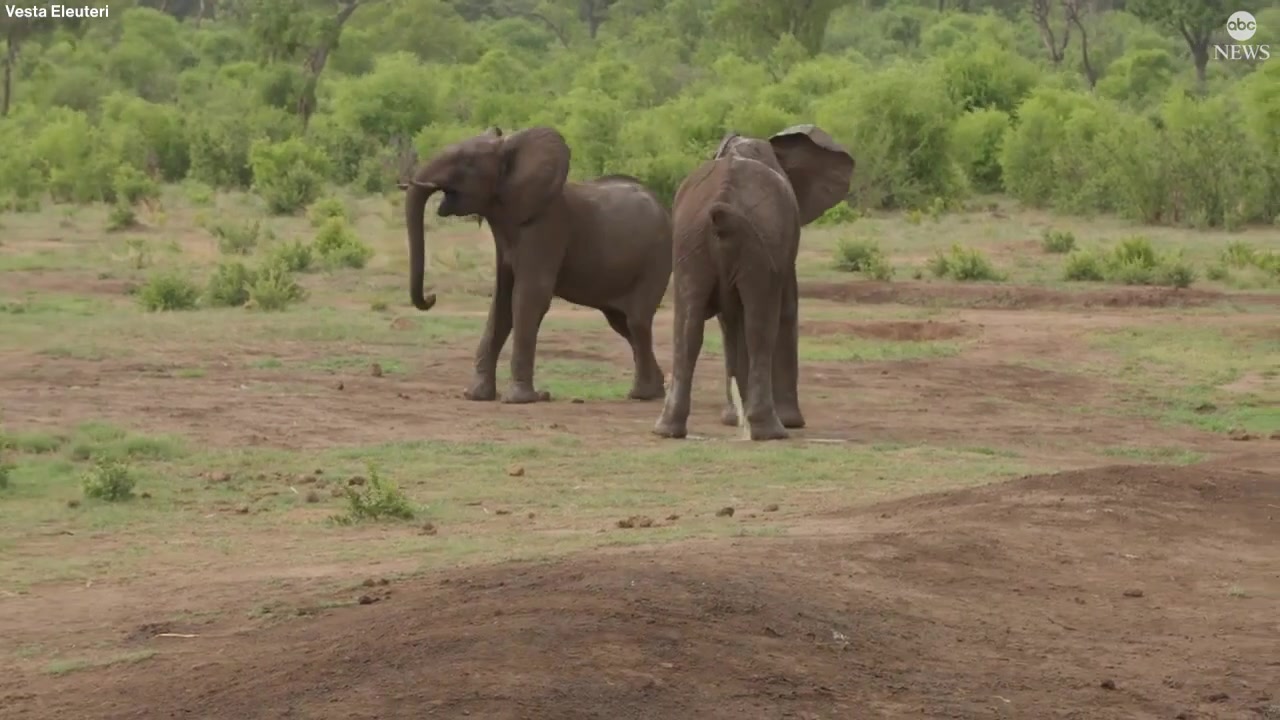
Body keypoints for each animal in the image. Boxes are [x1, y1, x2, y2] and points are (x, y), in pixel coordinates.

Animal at [400, 126, 673, 404]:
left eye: (467, 162)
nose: (431, 297)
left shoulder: (544, 226)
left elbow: (528, 297)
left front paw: (521, 399)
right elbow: (501, 302)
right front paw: (476, 395)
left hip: (658, 259)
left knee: (637, 322)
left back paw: (642, 394)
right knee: (623, 323)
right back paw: (655, 391)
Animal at [653, 125, 855, 441]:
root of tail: (723, 200)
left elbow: (729, 322)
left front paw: (732, 419)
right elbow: (786, 311)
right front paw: (791, 421)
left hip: (690, 240)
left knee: (688, 326)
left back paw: (667, 430)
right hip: (759, 243)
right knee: (761, 325)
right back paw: (771, 431)